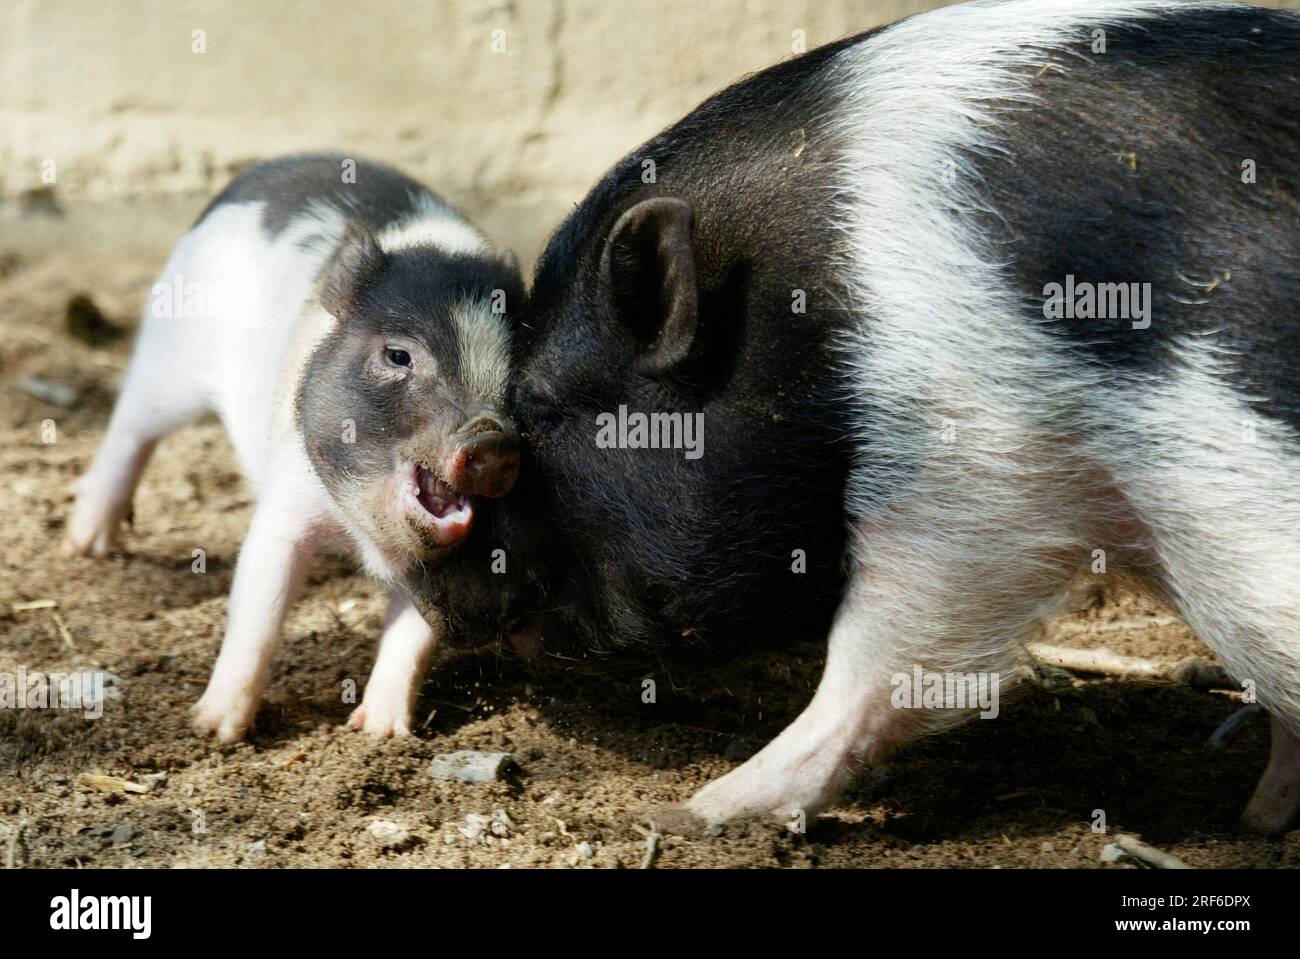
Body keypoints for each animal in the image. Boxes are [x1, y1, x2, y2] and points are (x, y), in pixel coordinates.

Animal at [63, 153, 523, 742]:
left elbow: (413, 633)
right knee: (130, 425)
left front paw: (379, 734)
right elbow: (257, 607)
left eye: (517, 375)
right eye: (398, 355)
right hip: (167, 354)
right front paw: (213, 730)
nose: (489, 438)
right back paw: (83, 546)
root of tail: (273, 165)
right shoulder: (284, 507)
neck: (361, 537)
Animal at [483, 0, 1300, 835]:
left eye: (541, 407)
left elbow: (893, 648)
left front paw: (688, 813)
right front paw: (1260, 820)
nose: (500, 614)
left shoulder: (971, 461)